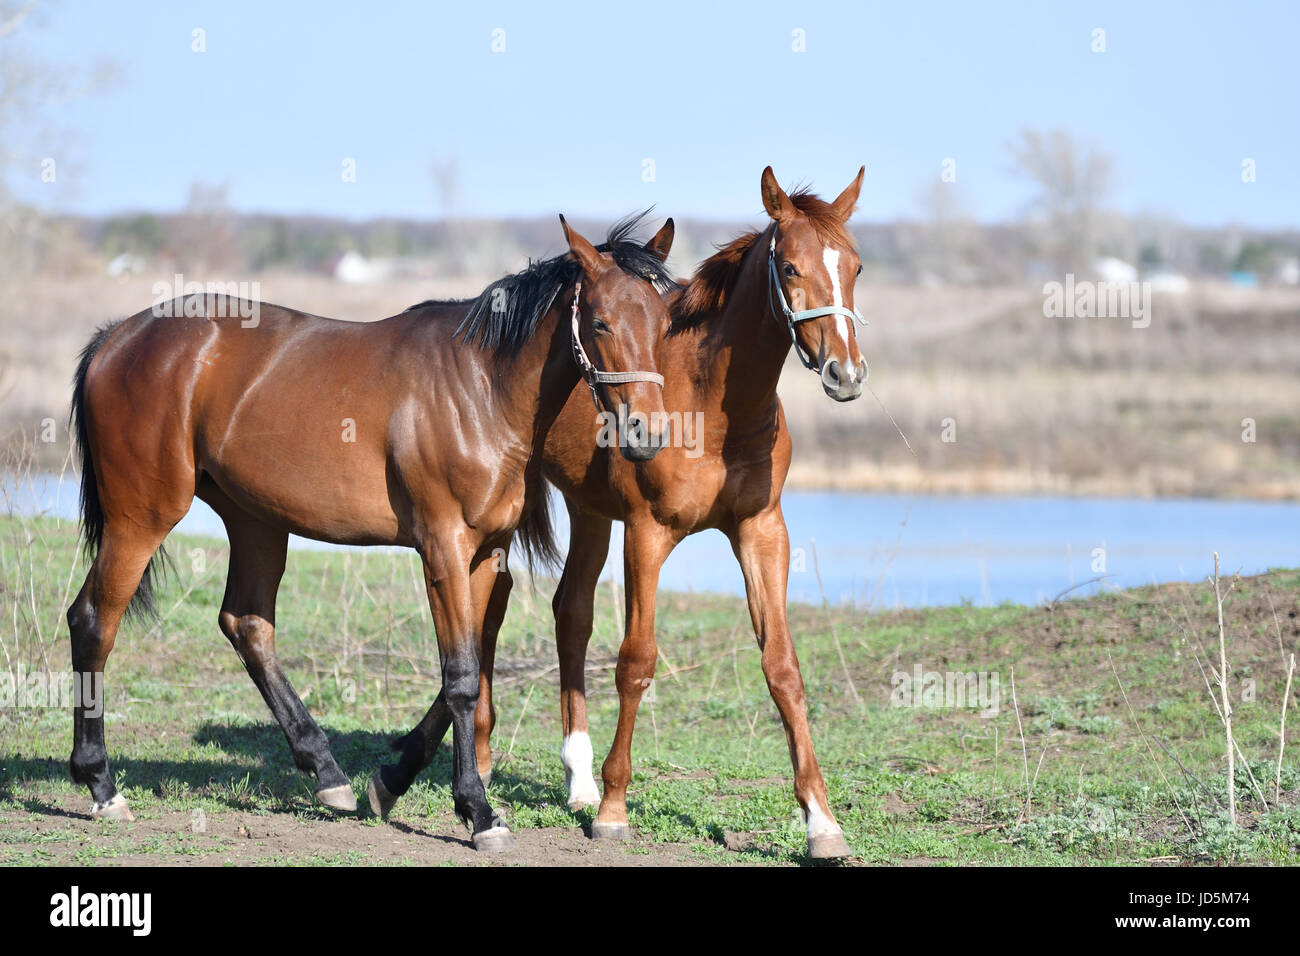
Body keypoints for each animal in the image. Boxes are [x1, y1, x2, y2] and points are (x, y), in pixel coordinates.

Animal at [66, 213, 675, 851]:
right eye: (600, 321)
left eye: (666, 323)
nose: (648, 434)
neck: (481, 388)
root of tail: (117, 338)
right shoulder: (442, 548)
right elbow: (462, 677)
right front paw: (479, 812)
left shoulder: (486, 553)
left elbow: (469, 665)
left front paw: (394, 779)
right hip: (143, 517)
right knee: (94, 622)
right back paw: (102, 786)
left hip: (255, 520)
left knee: (247, 626)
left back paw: (327, 774)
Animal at [371, 167, 868, 859]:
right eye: (790, 266)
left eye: (855, 266)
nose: (846, 373)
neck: (711, 406)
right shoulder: (648, 533)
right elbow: (636, 662)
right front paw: (612, 808)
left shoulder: (762, 531)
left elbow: (783, 667)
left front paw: (822, 821)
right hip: (504, 524)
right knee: (490, 617)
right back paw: (485, 768)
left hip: (588, 512)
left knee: (569, 612)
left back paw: (573, 777)